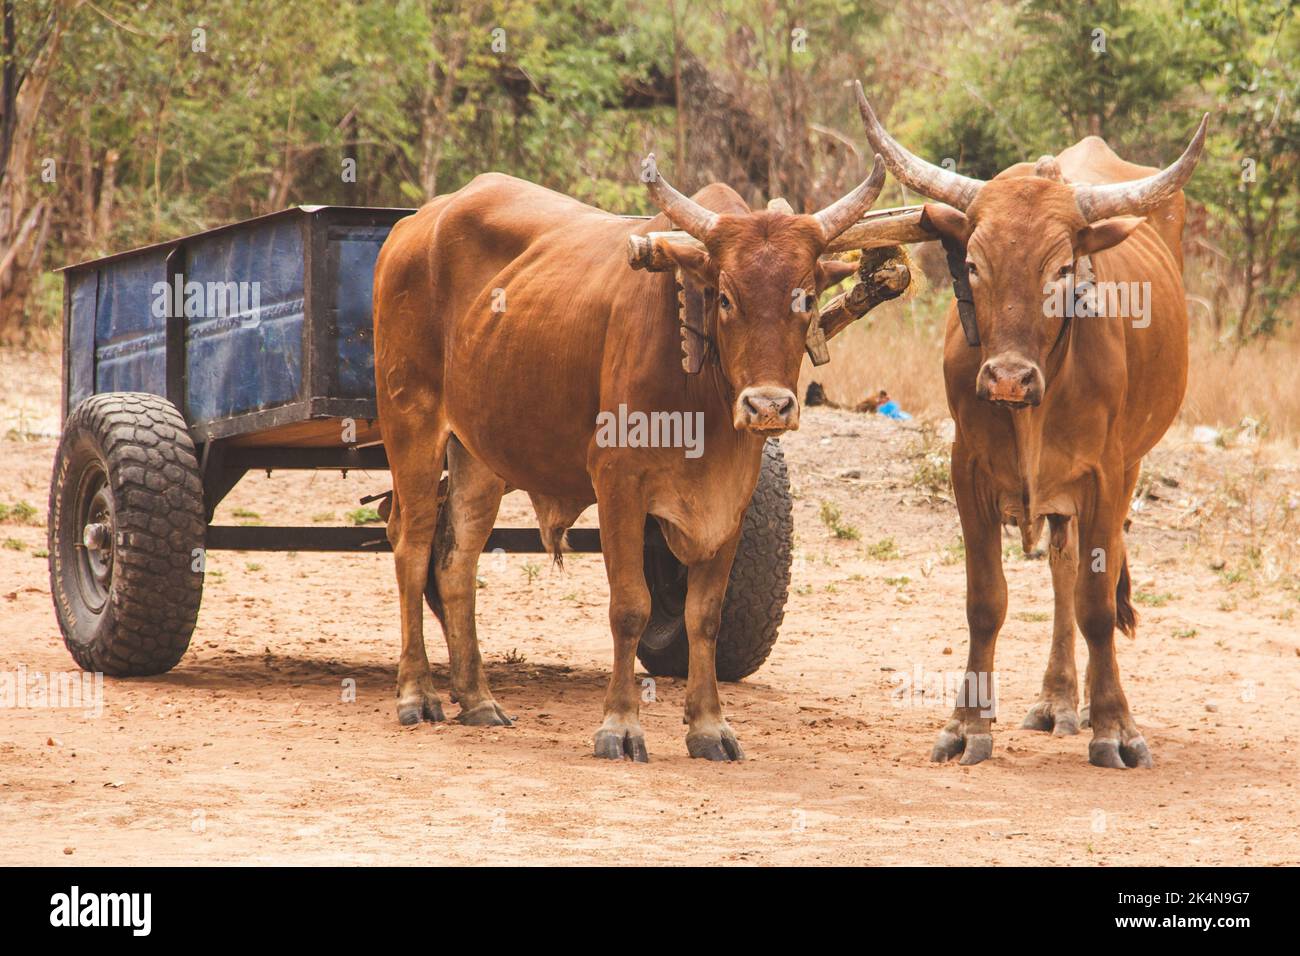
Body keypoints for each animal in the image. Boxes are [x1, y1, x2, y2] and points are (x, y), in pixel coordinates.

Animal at [372, 156, 889, 760]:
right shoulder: (618, 484)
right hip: (412, 425)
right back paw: (417, 693)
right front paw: (619, 726)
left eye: (804, 297)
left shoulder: (732, 499)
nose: (768, 406)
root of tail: (410, 227)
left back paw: (477, 700)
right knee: (411, 546)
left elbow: (703, 616)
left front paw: (709, 727)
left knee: (456, 561)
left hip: (478, 454)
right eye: (726, 297)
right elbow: (630, 607)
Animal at [854, 82, 1206, 769]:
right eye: (975, 265)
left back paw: (1084, 706)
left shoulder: (1107, 474)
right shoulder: (967, 470)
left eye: (1062, 270)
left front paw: (1115, 728)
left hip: (1128, 469)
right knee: (1060, 569)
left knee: (1088, 580)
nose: (1008, 379)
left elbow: (1097, 605)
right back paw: (1057, 701)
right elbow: (985, 601)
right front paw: (968, 725)